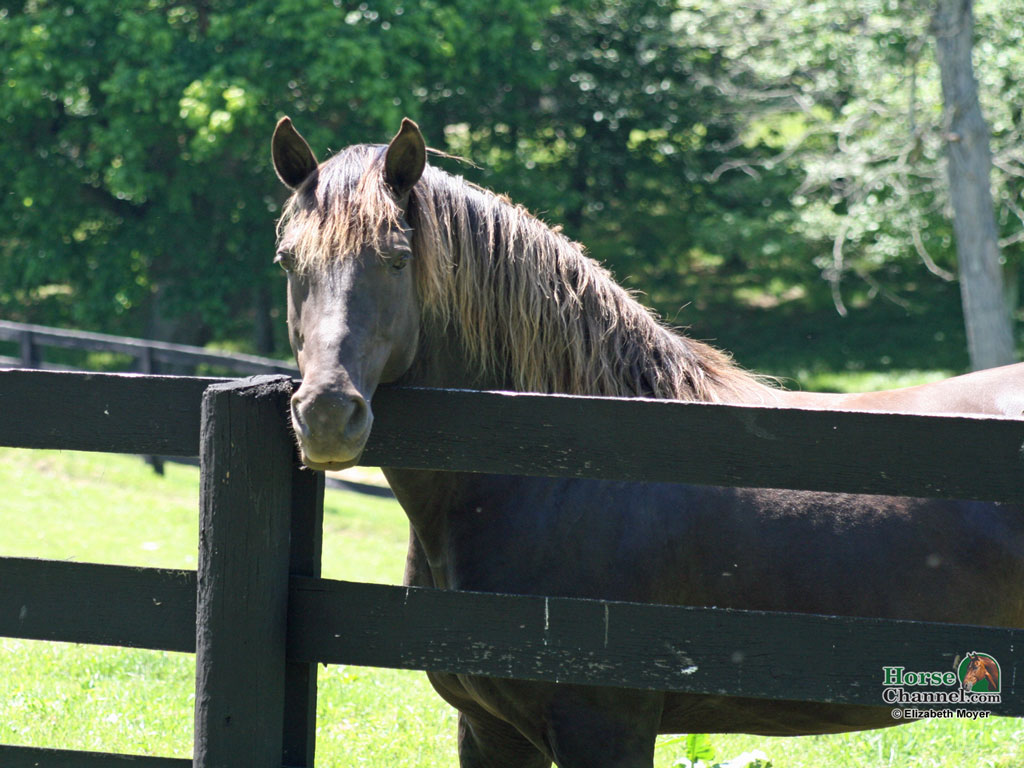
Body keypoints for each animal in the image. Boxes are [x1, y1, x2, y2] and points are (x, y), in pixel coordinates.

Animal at [271, 116, 1024, 768]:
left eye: (397, 259)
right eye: (287, 261)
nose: (327, 414)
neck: (556, 474)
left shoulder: (604, 726)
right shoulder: (489, 730)